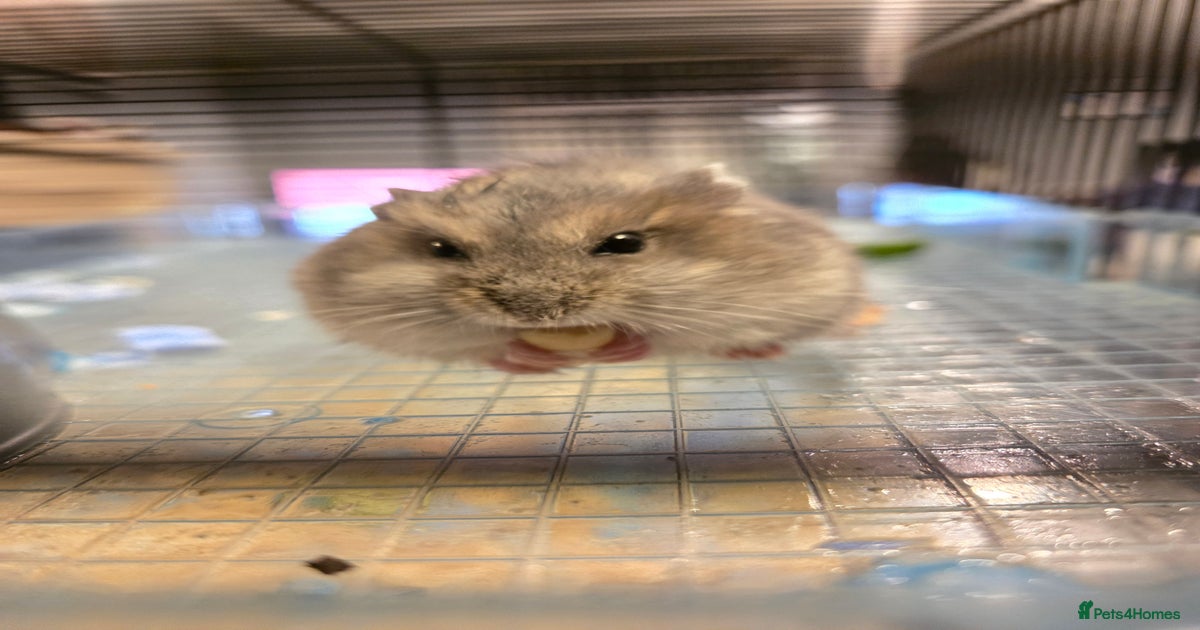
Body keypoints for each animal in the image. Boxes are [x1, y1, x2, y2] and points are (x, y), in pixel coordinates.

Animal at [292, 157, 865, 373]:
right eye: (442, 250)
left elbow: (662, 336)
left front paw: (620, 347)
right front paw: (534, 357)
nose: (533, 314)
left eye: (624, 244)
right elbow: (478, 341)